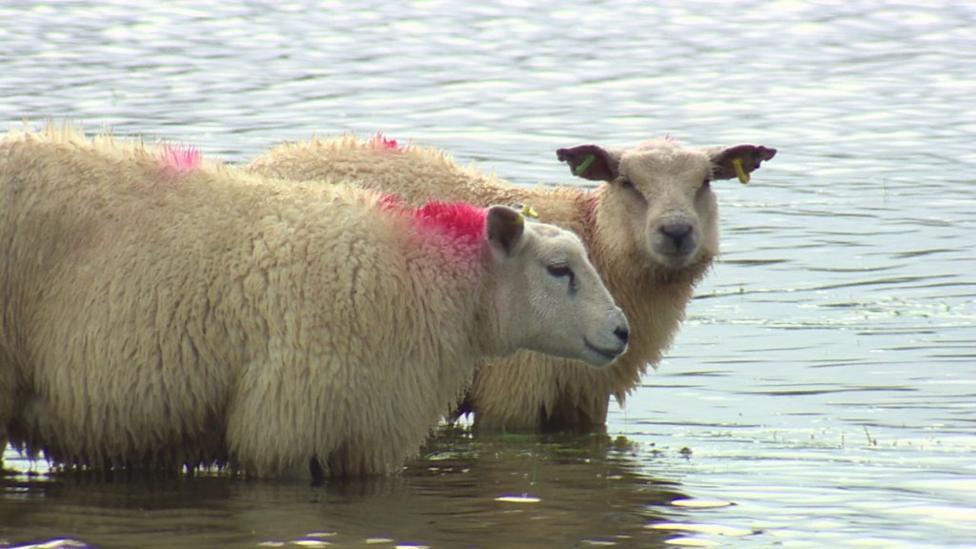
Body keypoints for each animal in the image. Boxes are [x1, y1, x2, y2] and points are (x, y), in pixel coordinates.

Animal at [247, 134, 776, 432]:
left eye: (705, 182)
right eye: (627, 182)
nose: (677, 232)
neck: (596, 239)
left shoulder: (585, 398)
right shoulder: (512, 395)